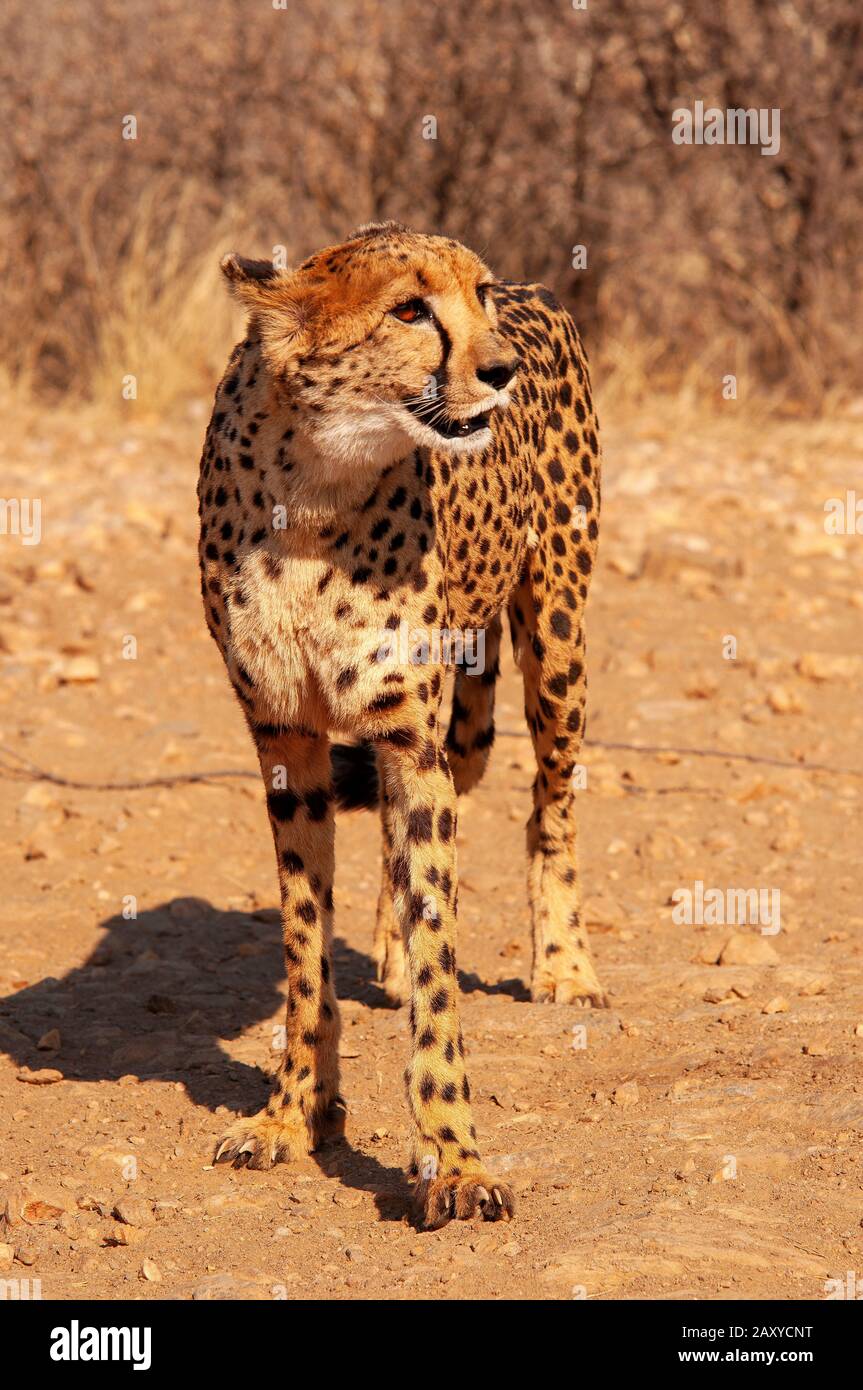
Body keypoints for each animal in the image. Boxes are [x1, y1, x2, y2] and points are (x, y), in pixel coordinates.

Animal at [196, 220, 605, 1228]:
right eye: (409, 309)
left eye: (475, 295)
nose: (497, 370)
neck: (314, 483)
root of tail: (544, 290)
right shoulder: (284, 739)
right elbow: (307, 956)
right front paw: (294, 1116)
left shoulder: (412, 738)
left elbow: (439, 962)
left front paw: (454, 1161)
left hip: (556, 635)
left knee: (549, 802)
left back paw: (564, 966)